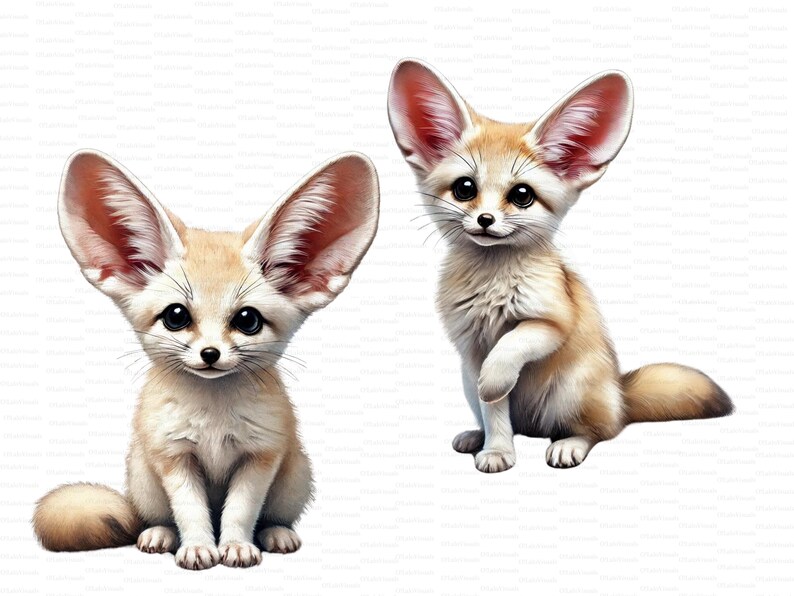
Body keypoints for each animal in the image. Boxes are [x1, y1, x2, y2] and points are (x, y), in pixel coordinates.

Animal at [33, 150, 379, 568]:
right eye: (176, 316)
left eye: (247, 320)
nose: (210, 354)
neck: (214, 416)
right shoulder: (174, 456)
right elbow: (190, 511)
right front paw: (198, 546)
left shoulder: (260, 455)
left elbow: (241, 511)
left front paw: (236, 546)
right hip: (143, 477)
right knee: (157, 516)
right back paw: (159, 534)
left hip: (295, 476)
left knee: (273, 515)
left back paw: (276, 533)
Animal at [387, 59, 733, 474]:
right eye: (465, 189)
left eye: (522, 195)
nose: (485, 220)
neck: (493, 283)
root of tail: (621, 394)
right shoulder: (472, 347)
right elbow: (494, 411)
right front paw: (497, 450)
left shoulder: (553, 321)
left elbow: (512, 348)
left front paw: (496, 382)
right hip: (471, 387)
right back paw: (477, 437)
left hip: (572, 392)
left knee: (600, 431)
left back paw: (569, 445)